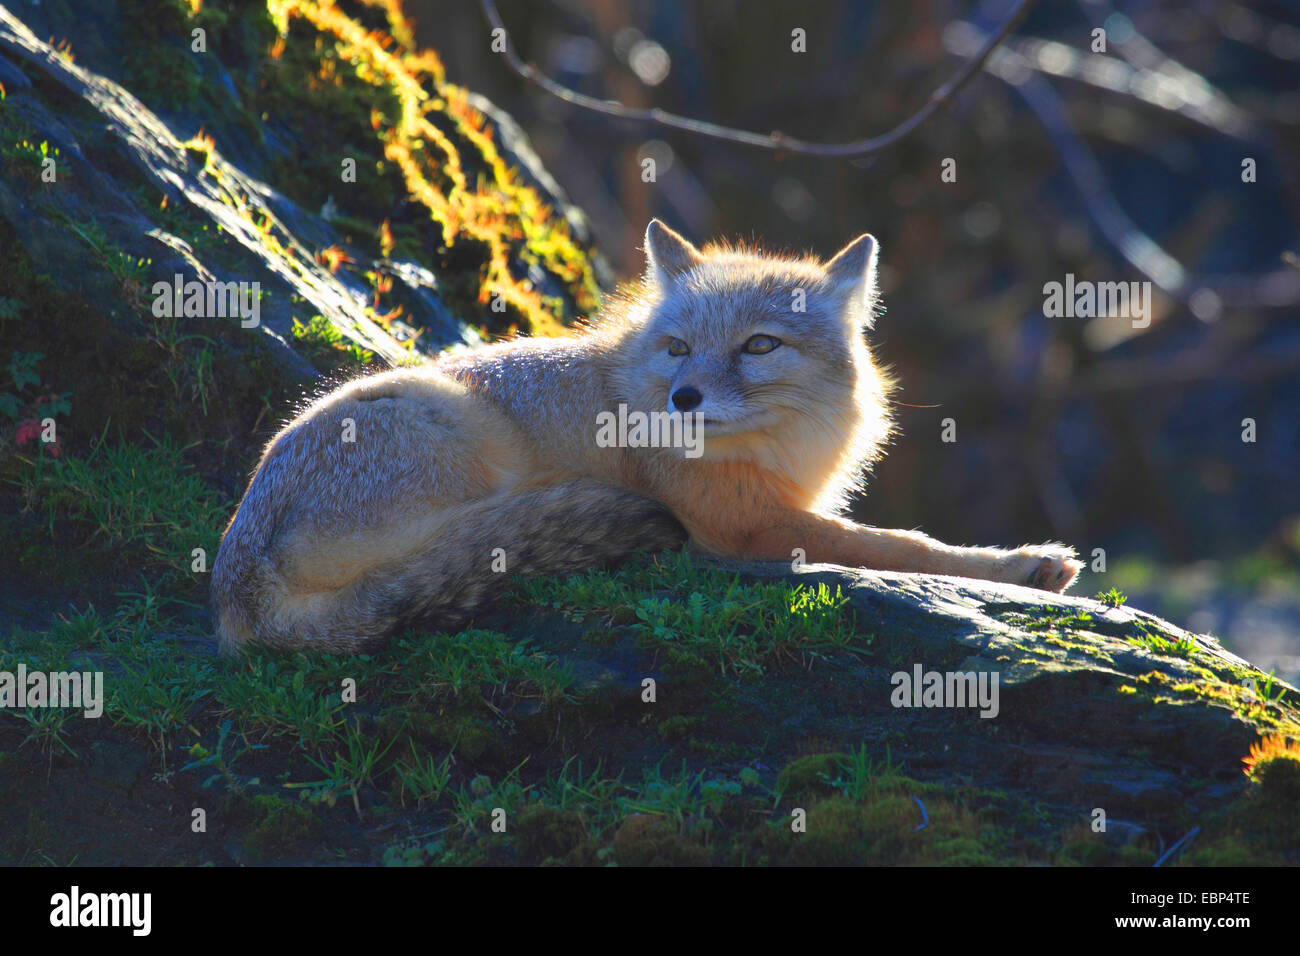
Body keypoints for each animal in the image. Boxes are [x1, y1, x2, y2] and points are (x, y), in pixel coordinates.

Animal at [211, 220, 1082, 655]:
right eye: (678, 347)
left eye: (758, 345)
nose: (682, 397)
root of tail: (238, 589)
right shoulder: (749, 525)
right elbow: (903, 545)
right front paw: (1017, 565)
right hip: (451, 422)